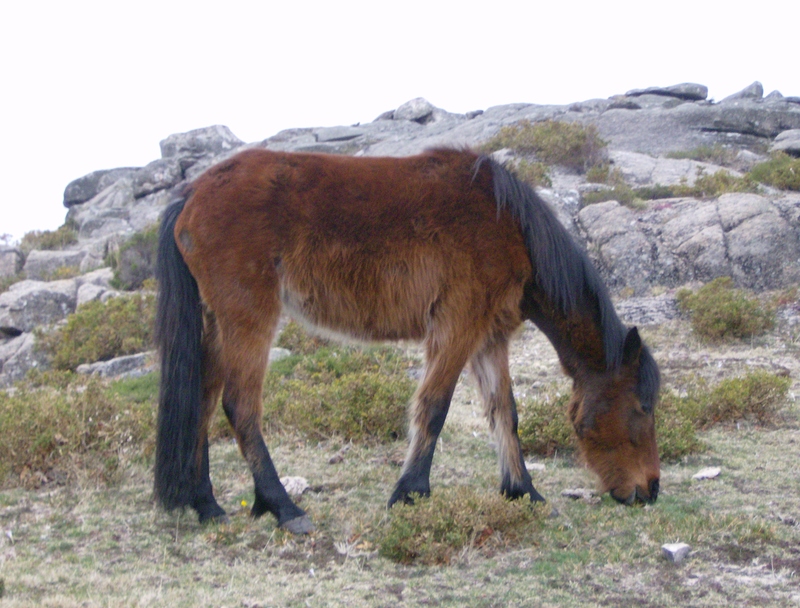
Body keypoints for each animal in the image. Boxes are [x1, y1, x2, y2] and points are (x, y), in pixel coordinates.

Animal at [154, 147, 661, 534]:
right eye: (642, 407)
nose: (650, 490)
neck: (509, 224)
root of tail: (192, 194)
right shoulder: (458, 328)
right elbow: (434, 407)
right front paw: (411, 493)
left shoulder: (488, 338)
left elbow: (505, 413)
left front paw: (523, 492)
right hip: (248, 319)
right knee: (239, 407)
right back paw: (284, 508)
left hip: (217, 324)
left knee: (202, 401)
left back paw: (206, 505)